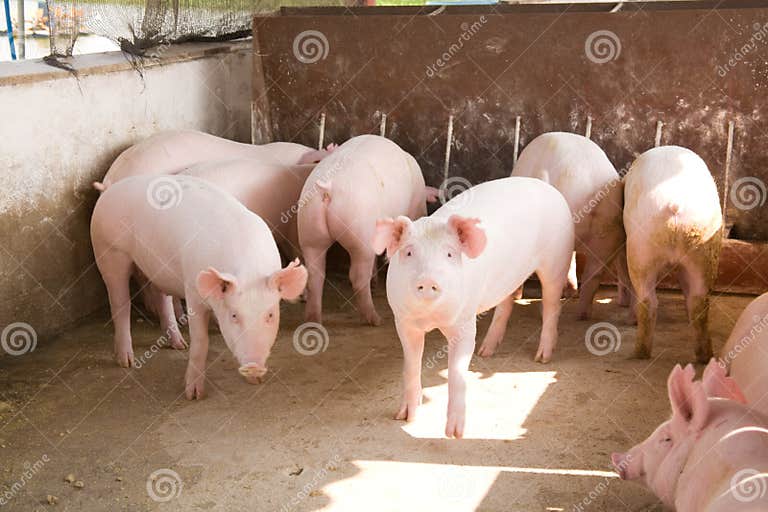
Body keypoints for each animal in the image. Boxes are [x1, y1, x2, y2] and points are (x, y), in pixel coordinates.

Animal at [90, 174, 308, 398]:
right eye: (234, 315)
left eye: (270, 315)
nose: (253, 366)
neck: (249, 270)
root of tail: (109, 189)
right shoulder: (193, 292)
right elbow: (201, 342)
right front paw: (193, 395)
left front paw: (255, 381)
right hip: (109, 251)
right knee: (120, 304)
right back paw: (126, 361)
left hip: (157, 266)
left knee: (162, 299)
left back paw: (178, 345)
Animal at [298, 134, 435, 326]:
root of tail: (328, 188)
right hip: (360, 234)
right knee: (357, 276)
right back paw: (374, 319)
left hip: (309, 232)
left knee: (315, 276)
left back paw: (314, 320)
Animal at [373, 177, 574, 438]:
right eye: (408, 252)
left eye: (450, 254)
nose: (428, 280)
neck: (431, 318)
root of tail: (546, 186)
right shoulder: (404, 322)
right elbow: (411, 365)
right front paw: (405, 418)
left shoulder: (465, 322)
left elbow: (457, 373)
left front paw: (454, 434)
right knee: (506, 301)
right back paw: (486, 351)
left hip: (557, 259)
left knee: (551, 304)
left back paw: (542, 358)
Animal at [623, 146, 722, 361]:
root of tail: (674, 203)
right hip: (701, 253)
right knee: (698, 302)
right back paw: (705, 357)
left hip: (639, 250)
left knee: (647, 301)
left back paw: (639, 354)